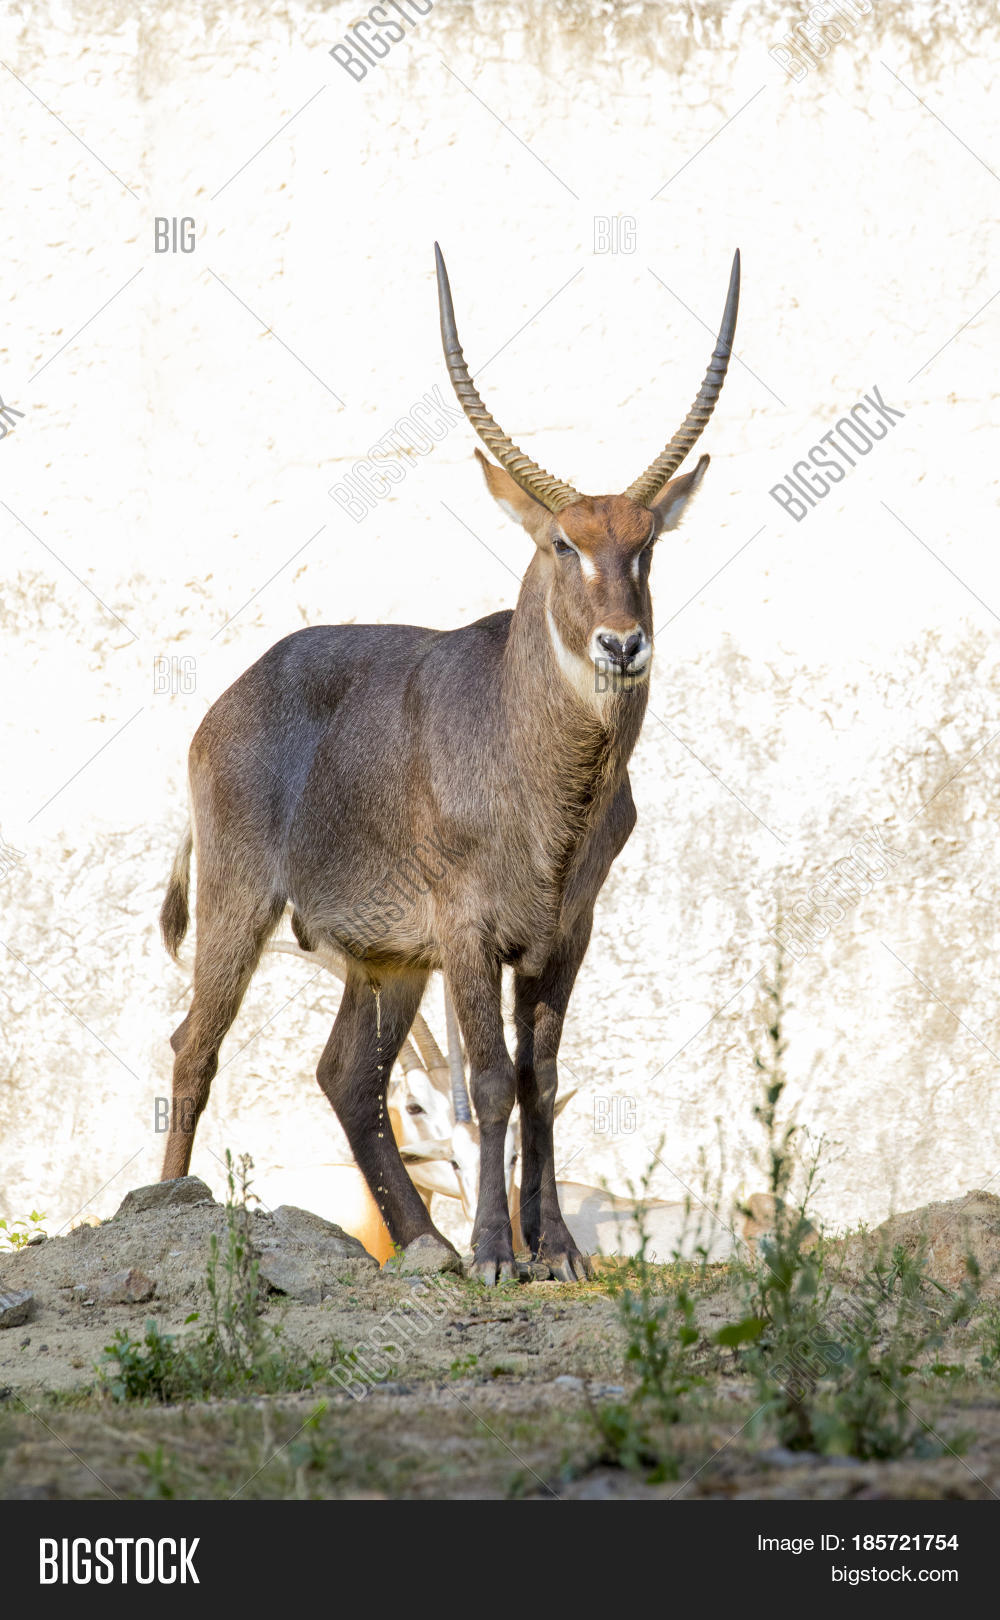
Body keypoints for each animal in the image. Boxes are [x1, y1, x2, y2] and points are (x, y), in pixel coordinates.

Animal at [159, 243, 740, 1284]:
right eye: (563, 541)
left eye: (646, 545)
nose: (622, 644)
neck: (548, 780)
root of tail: (226, 699)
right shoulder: (470, 930)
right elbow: (495, 1080)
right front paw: (500, 1255)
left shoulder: (567, 930)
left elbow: (544, 1079)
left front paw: (557, 1252)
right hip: (241, 904)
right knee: (194, 1045)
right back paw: (164, 1202)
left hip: (386, 959)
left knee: (345, 1074)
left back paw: (424, 1241)